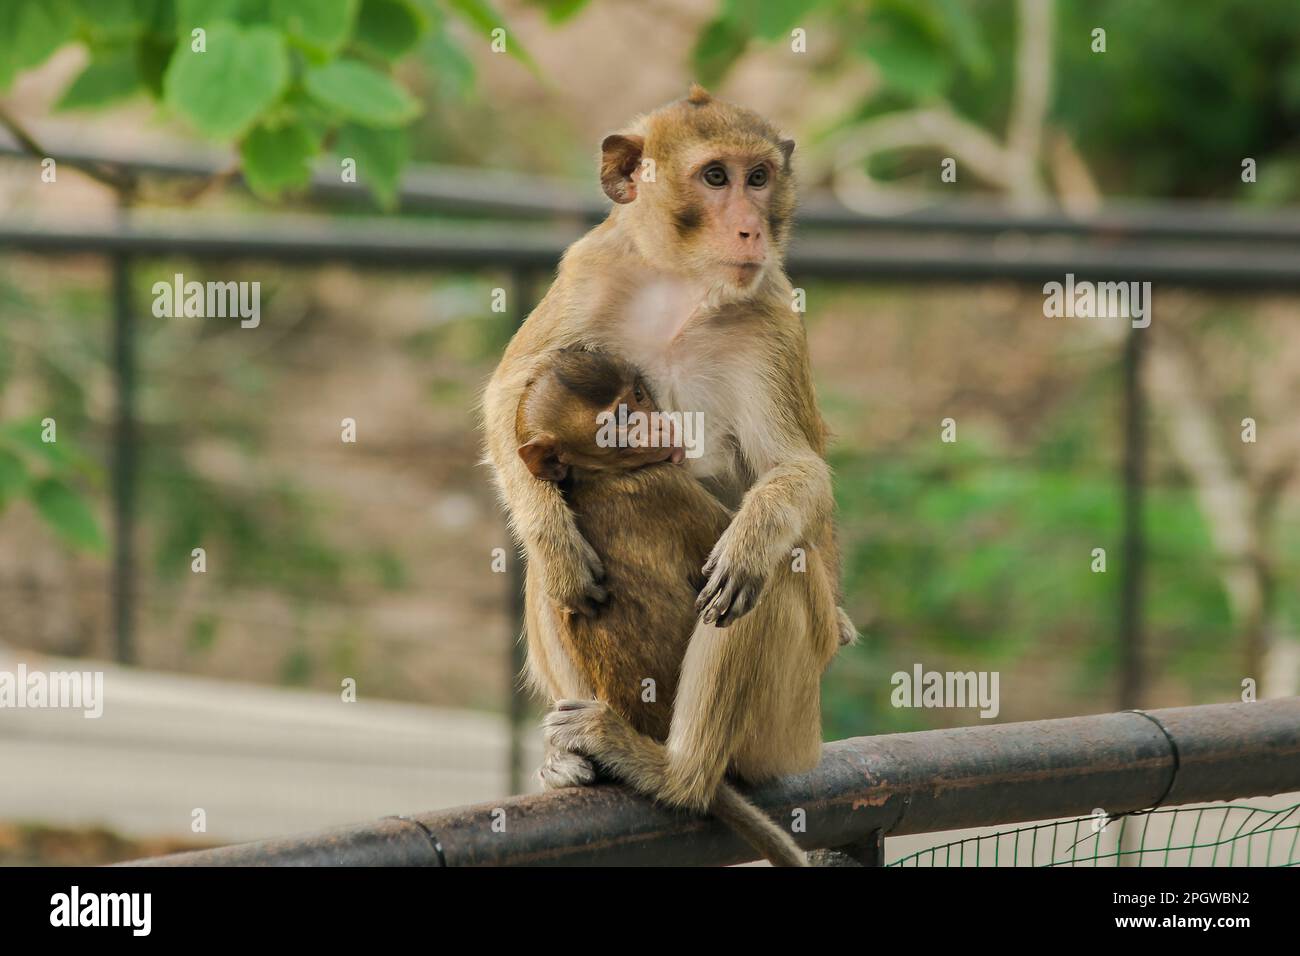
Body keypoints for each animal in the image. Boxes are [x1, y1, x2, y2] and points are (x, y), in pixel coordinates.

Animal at [481, 84, 852, 800]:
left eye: (758, 178)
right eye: (715, 177)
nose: (750, 228)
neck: (684, 286)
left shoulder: (770, 316)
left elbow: (798, 471)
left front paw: (750, 539)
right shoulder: (590, 274)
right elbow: (505, 401)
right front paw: (551, 535)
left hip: (792, 724)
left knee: (772, 576)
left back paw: (678, 771)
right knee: (553, 569)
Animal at [515, 347, 837, 865]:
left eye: (639, 397)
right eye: (617, 424)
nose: (658, 427)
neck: (593, 478)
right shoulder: (665, 487)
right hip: (780, 737)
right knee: (772, 578)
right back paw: (680, 779)